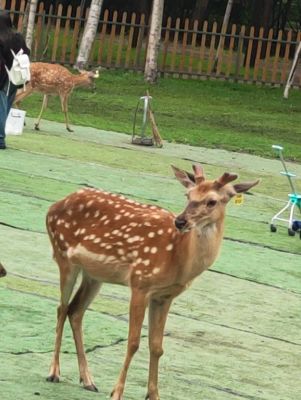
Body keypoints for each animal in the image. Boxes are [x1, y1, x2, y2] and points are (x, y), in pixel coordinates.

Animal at [45, 164, 258, 398]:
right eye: (188, 195)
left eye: (212, 201)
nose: (180, 221)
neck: (179, 258)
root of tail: (53, 206)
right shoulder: (141, 282)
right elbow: (133, 342)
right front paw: (116, 393)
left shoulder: (165, 296)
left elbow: (157, 346)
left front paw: (154, 394)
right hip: (63, 255)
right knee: (62, 308)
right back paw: (54, 372)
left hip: (94, 275)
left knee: (75, 311)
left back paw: (88, 380)